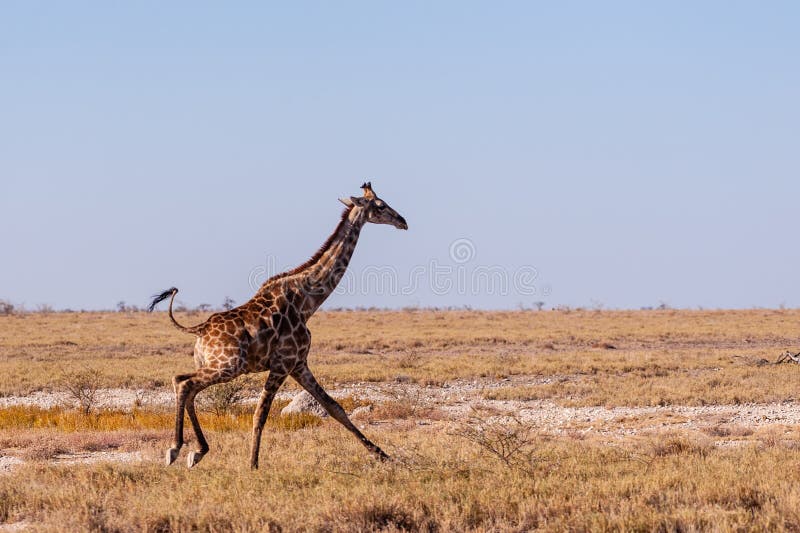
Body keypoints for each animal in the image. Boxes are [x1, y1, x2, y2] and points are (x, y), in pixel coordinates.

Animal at [148, 182, 408, 469]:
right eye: (381, 205)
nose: (403, 221)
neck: (307, 300)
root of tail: (199, 330)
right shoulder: (283, 363)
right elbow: (260, 414)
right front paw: (253, 465)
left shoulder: (299, 364)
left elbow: (335, 408)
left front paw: (384, 455)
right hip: (228, 366)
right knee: (185, 384)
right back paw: (176, 449)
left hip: (212, 364)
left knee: (184, 384)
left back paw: (196, 450)